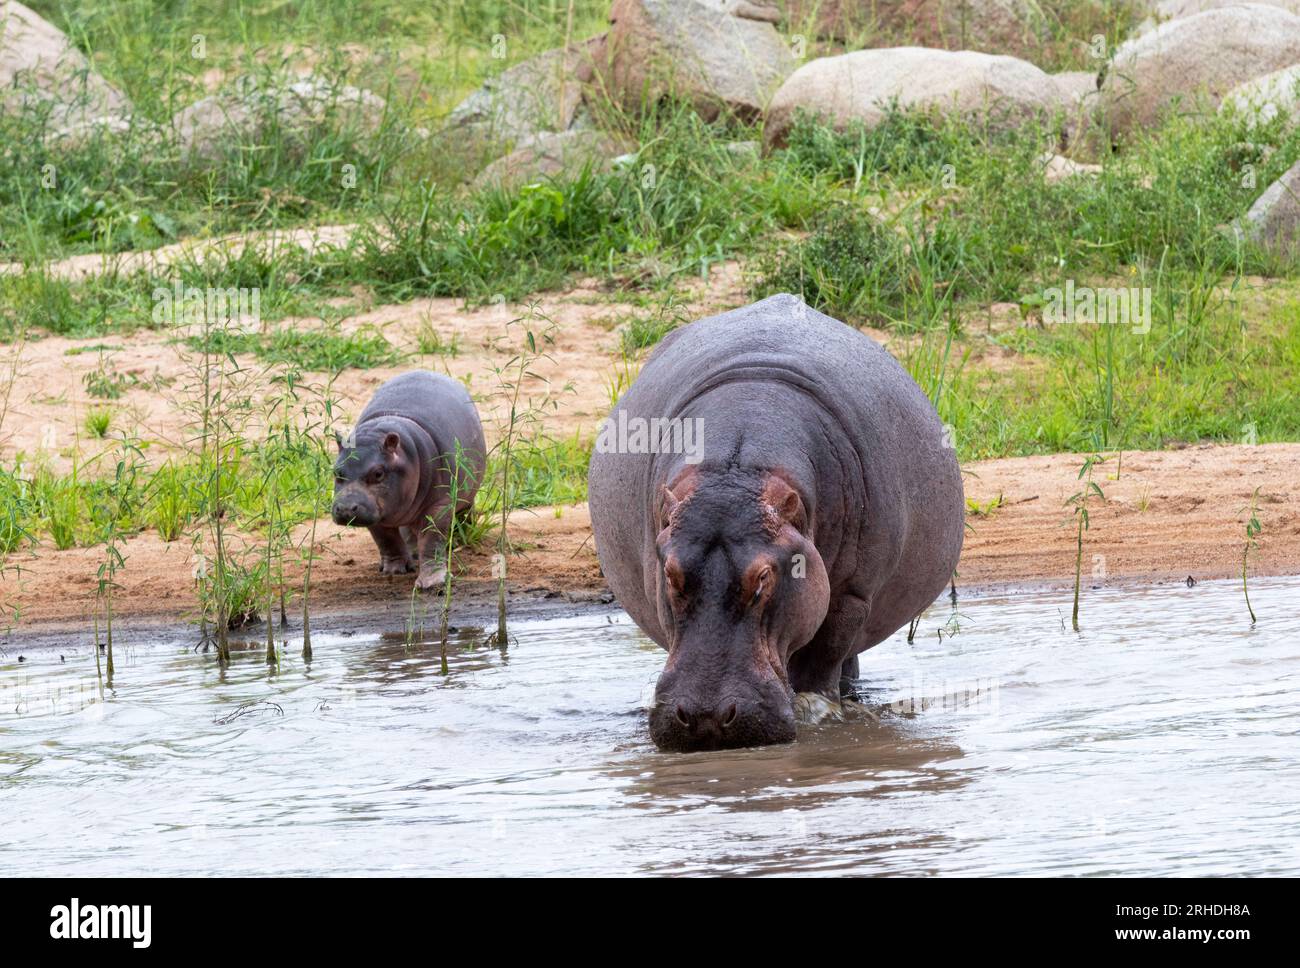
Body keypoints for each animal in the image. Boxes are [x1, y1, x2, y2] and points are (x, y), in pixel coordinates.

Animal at [332, 370, 487, 590]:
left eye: (378, 473)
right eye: (336, 472)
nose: (345, 508)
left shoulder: (439, 505)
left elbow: (432, 539)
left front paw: (432, 583)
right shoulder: (374, 512)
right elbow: (386, 540)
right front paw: (394, 571)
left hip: (467, 494)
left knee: (464, 513)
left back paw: (460, 537)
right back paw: (412, 555)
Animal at [588, 294, 964, 751]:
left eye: (764, 577)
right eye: (671, 574)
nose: (706, 718)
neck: (735, 471)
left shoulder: (853, 594)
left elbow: (824, 658)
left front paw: (820, 715)